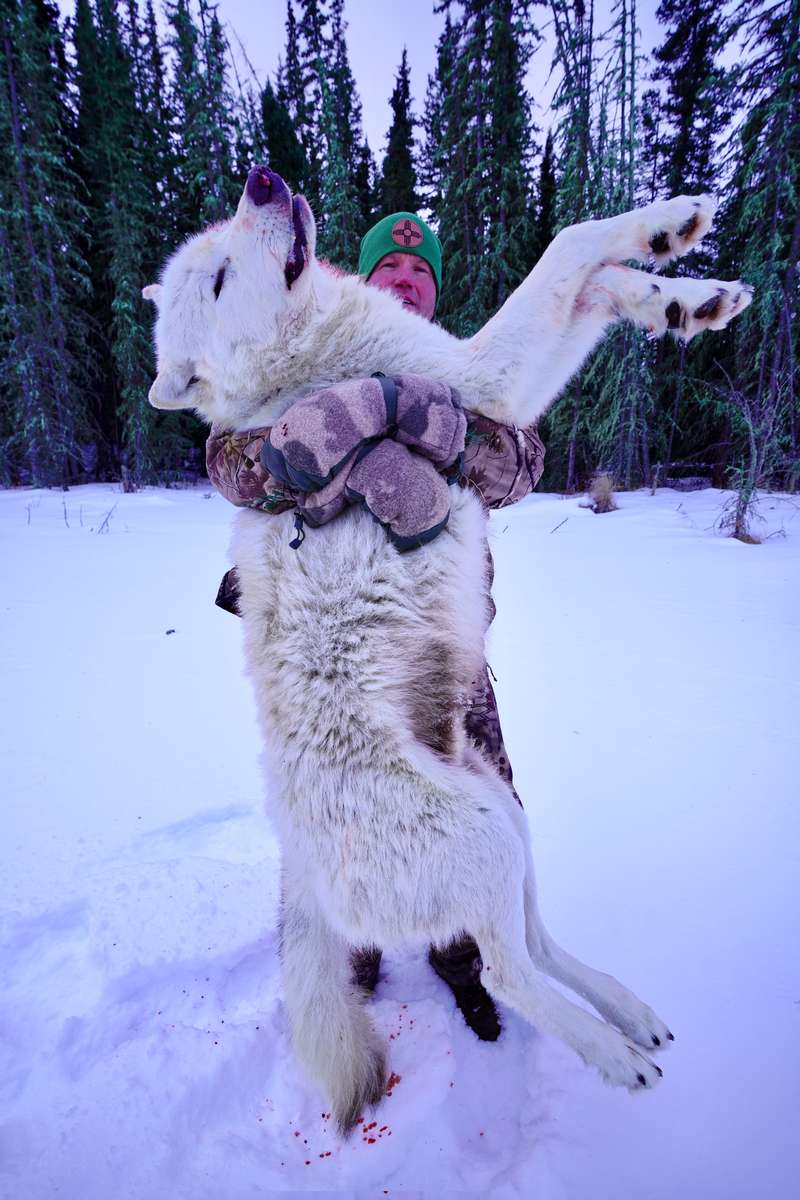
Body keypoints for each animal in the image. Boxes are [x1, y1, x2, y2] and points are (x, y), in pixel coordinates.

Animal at [143, 166, 751, 1132]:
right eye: (217, 280)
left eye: (222, 247)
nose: (263, 178)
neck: (308, 374)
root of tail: (294, 860)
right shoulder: (481, 381)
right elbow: (571, 245)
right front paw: (670, 246)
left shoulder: (486, 391)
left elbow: (596, 274)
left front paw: (684, 290)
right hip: (486, 840)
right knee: (507, 969)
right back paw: (615, 1057)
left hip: (507, 815)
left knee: (538, 945)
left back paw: (627, 1010)